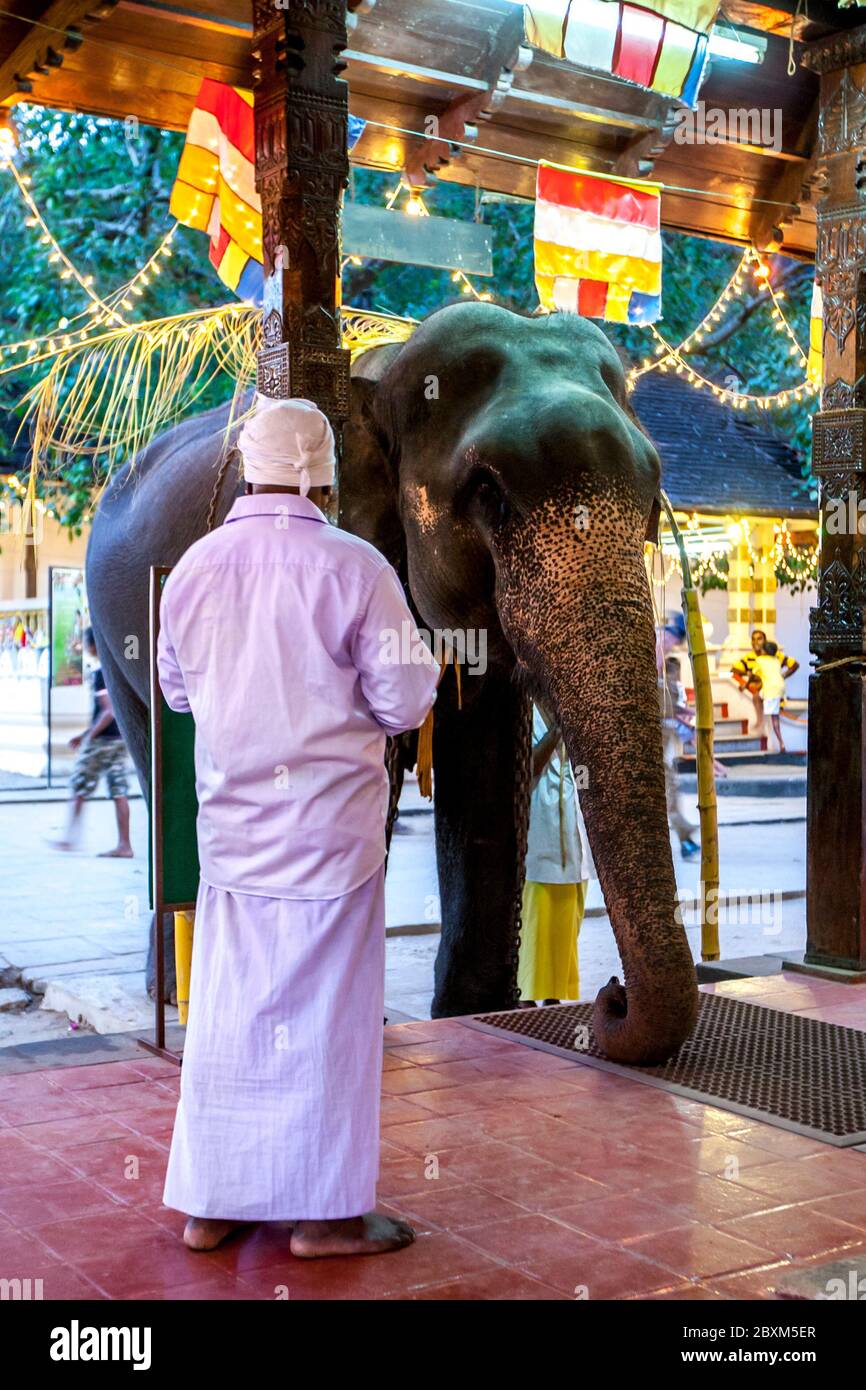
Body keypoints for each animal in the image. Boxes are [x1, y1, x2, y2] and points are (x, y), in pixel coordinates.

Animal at [86, 300, 698, 1064]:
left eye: (651, 499)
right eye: (487, 490)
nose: (610, 996)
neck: (383, 374)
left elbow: (486, 771)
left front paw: (478, 1013)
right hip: (113, 630)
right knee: (154, 763)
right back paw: (179, 996)